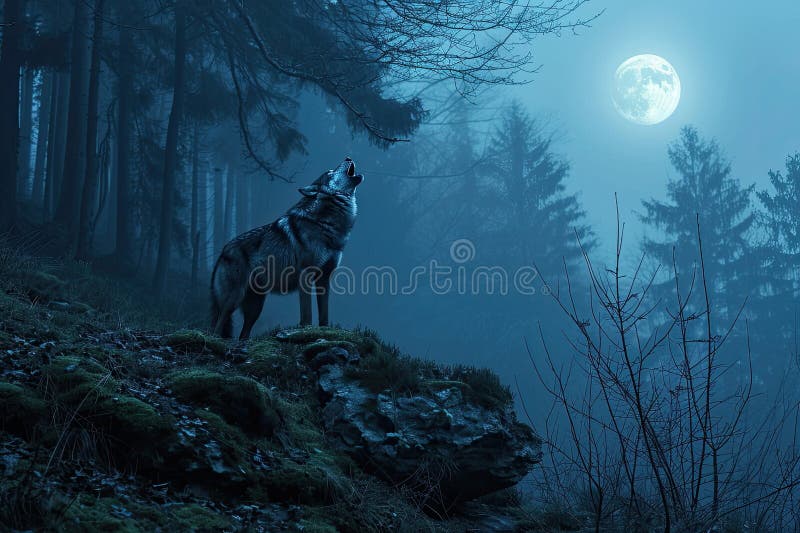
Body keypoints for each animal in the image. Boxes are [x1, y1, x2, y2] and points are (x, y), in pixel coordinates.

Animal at [210, 158, 363, 339]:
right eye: (330, 172)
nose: (348, 158)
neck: (326, 224)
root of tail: (222, 252)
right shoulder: (305, 275)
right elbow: (307, 313)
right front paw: (305, 331)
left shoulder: (324, 278)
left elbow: (324, 314)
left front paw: (325, 332)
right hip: (234, 299)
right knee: (218, 326)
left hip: (255, 308)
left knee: (243, 334)